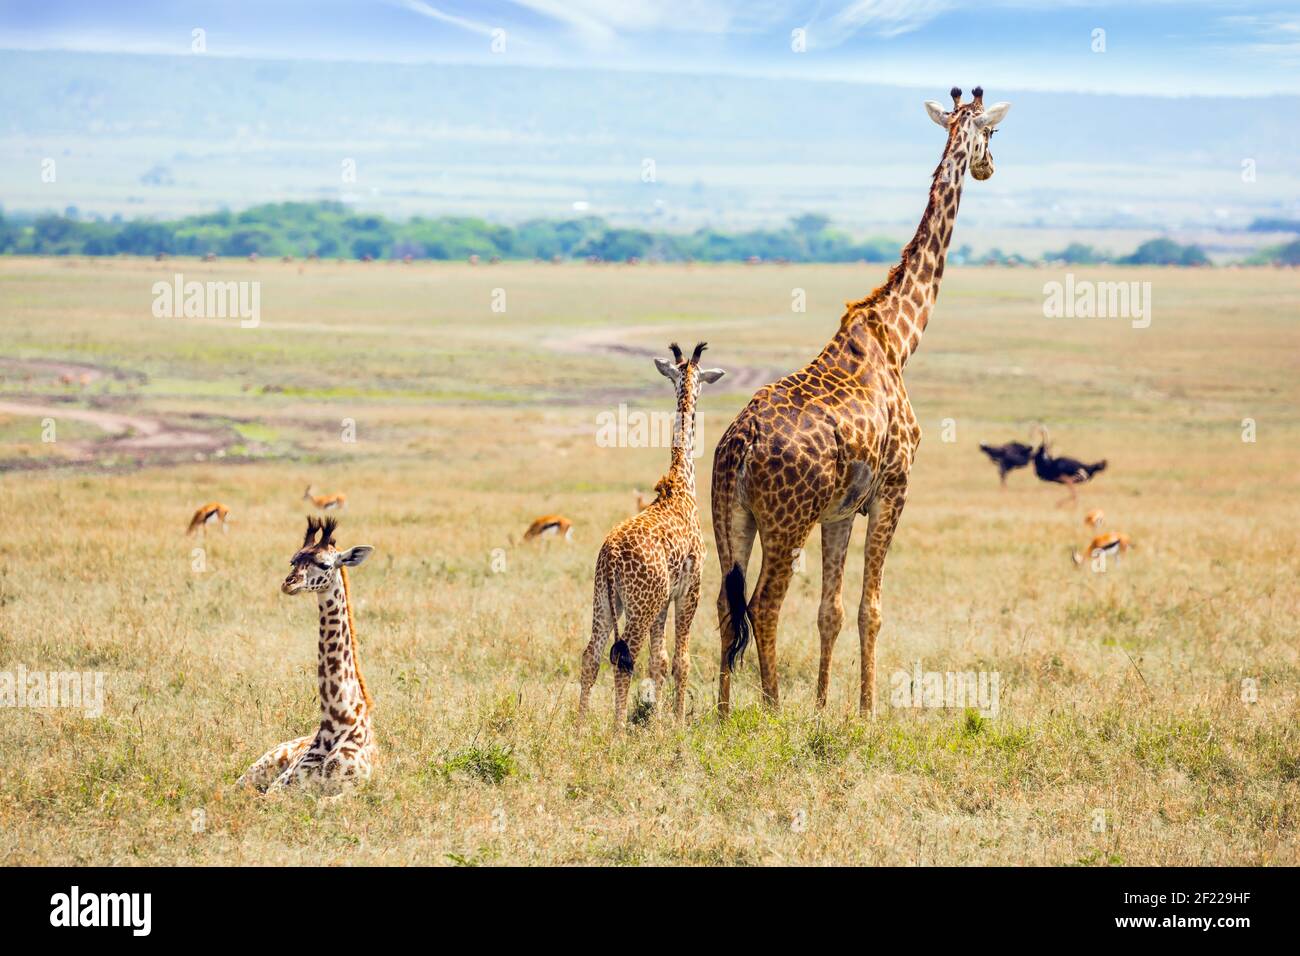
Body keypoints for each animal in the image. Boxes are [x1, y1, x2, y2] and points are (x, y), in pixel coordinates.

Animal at [238, 516, 377, 794]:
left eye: (324, 564)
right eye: (293, 560)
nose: (288, 583)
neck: (338, 720)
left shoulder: (354, 789)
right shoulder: (281, 787)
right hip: (259, 767)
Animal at [578, 343, 726, 728]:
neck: (681, 484)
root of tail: (611, 556)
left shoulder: (663, 598)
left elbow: (658, 660)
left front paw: (657, 722)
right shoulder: (689, 590)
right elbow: (680, 659)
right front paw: (676, 722)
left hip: (605, 601)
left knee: (591, 655)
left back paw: (580, 726)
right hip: (638, 606)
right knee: (622, 660)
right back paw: (616, 730)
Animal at [711, 87, 1011, 717]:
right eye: (993, 133)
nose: (989, 167)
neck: (899, 335)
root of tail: (741, 445)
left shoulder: (841, 510)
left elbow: (830, 610)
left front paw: (826, 705)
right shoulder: (894, 489)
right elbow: (870, 609)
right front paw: (867, 709)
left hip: (732, 516)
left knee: (728, 604)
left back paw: (721, 711)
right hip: (786, 520)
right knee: (764, 604)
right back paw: (772, 708)